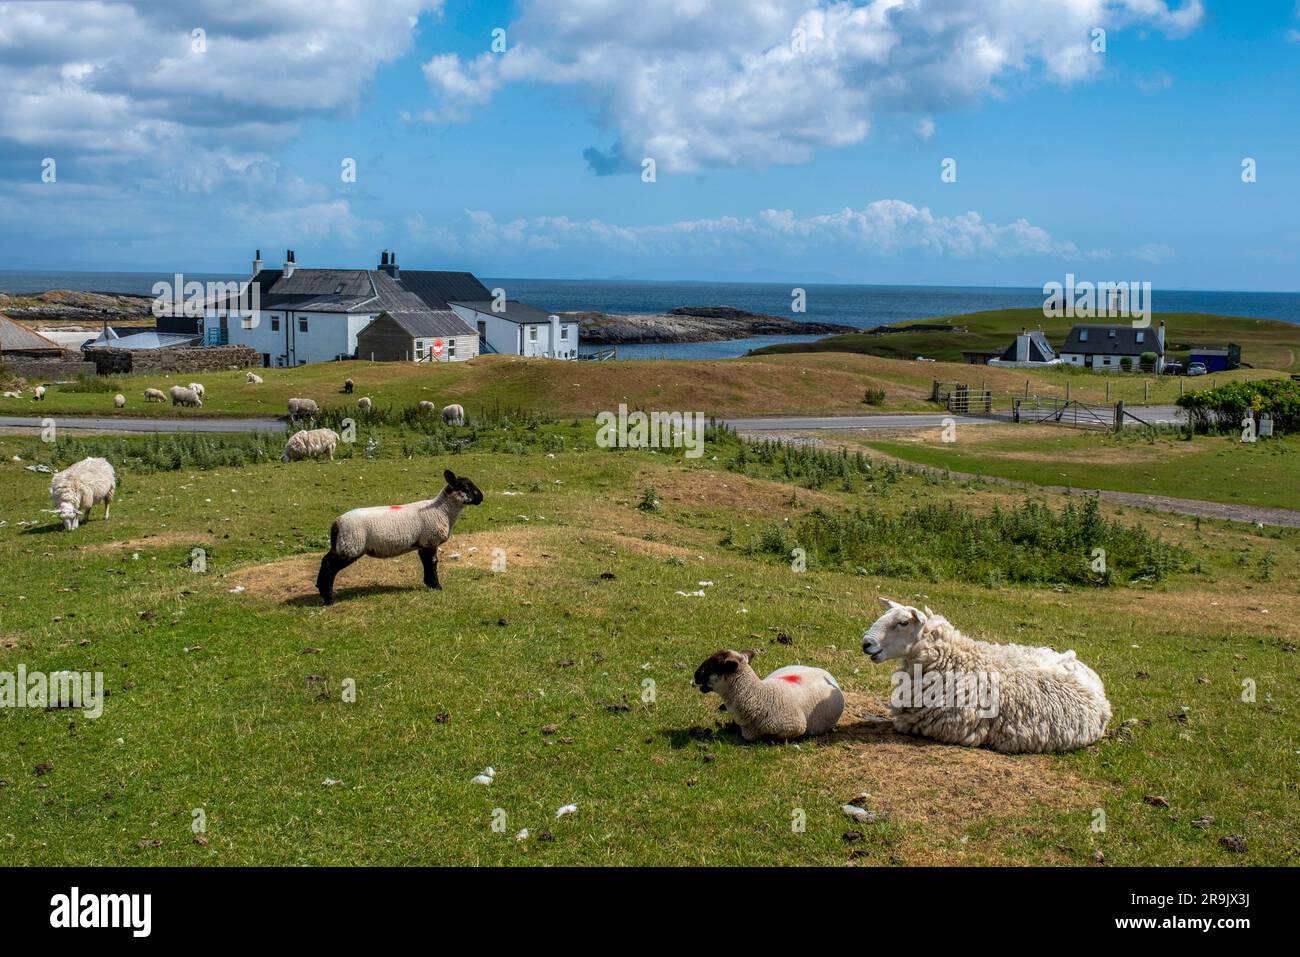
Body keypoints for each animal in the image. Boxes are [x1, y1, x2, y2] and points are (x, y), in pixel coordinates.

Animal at [315, 468, 484, 605]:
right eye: (465, 487)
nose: (481, 497)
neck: (442, 510)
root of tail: (337, 523)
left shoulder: (423, 544)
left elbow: (426, 564)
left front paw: (429, 583)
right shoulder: (430, 541)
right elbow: (432, 564)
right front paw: (436, 586)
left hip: (341, 544)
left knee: (325, 561)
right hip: (351, 545)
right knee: (329, 566)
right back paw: (328, 599)